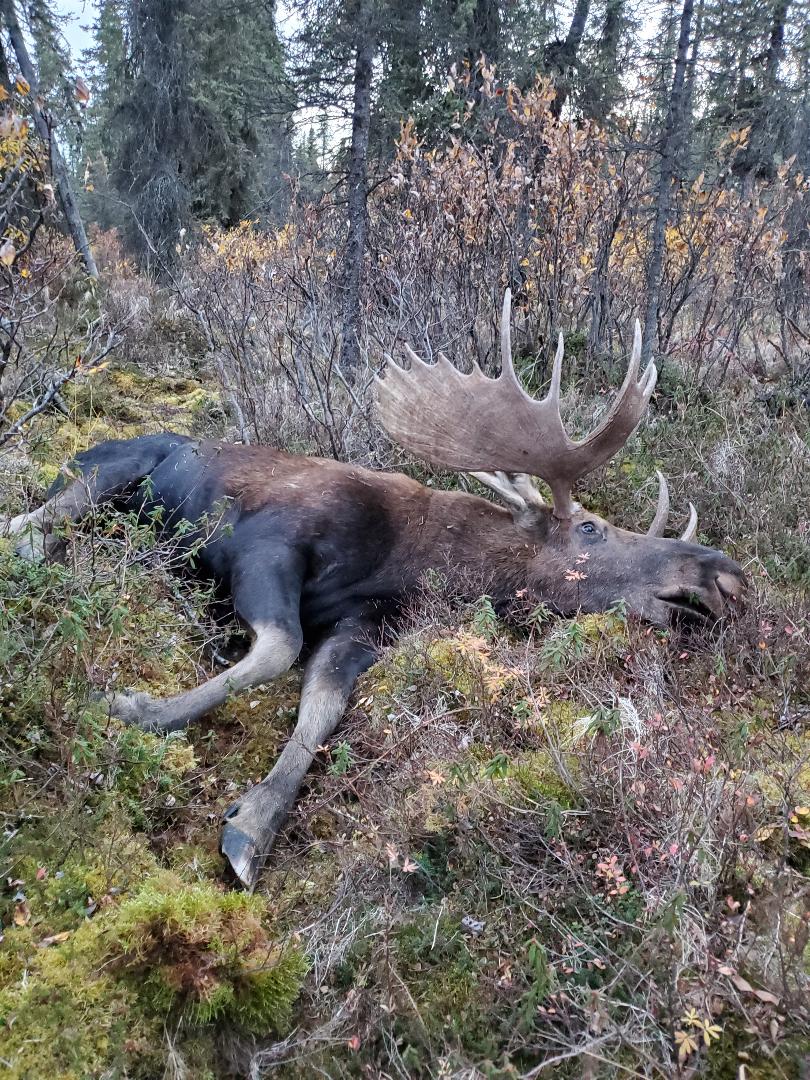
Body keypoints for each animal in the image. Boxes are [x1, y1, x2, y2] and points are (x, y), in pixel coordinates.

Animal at [5, 292, 745, 890]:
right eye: (592, 528)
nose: (723, 571)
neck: (403, 561)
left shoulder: (366, 626)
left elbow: (323, 703)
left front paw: (255, 824)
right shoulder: (265, 541)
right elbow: (278, 647)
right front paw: (129, 708)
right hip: (109, 468)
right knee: (31, 523)